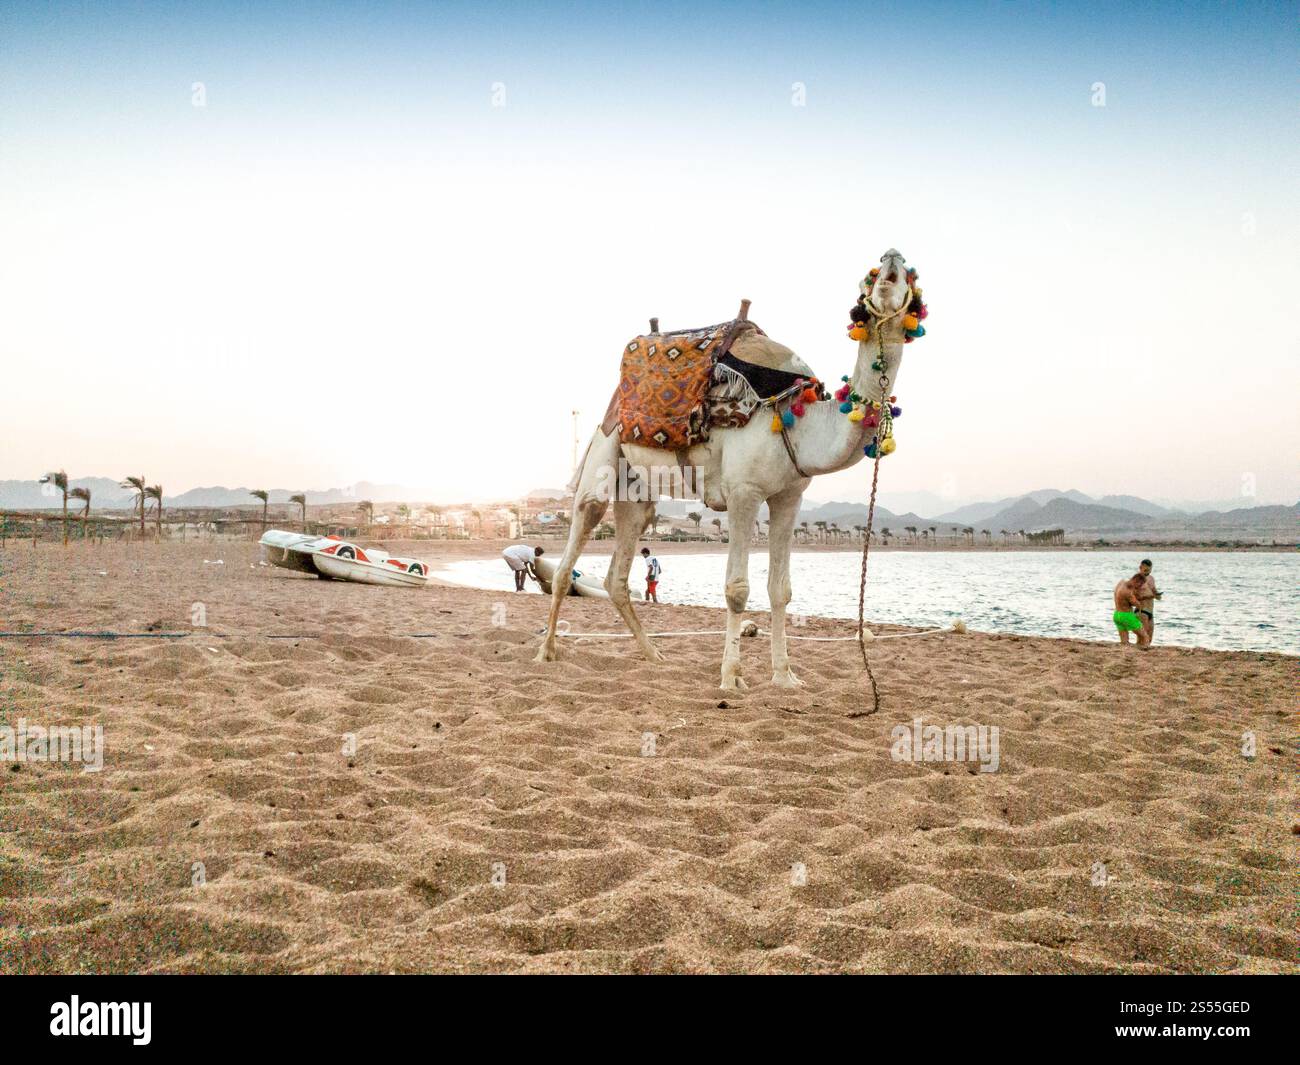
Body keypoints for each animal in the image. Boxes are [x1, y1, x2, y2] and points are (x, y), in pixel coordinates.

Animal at [535, 249, 918, 690]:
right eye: (867, 280)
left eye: (909, 277)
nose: (891, 259)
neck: (797, 418)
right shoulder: (743, 491)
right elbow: (737, 589)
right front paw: (732, 677)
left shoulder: (789, 496)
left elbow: (781, 589)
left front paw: (785, 676)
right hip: (603, 451)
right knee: (571, 554)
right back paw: (546, 651)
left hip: (636, 490)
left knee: (619, 569)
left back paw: (654, 655)